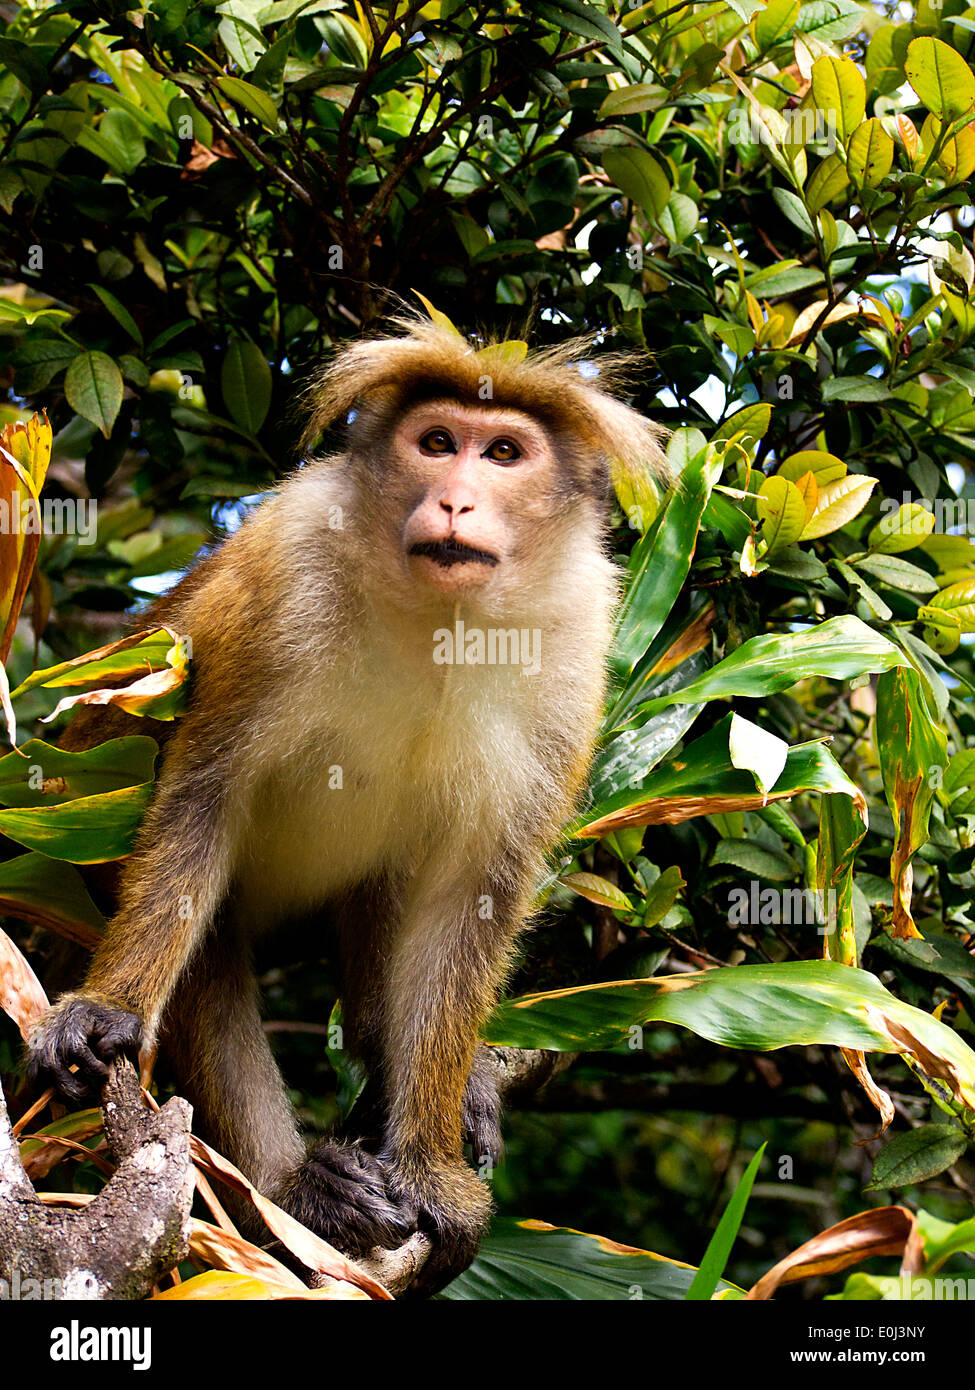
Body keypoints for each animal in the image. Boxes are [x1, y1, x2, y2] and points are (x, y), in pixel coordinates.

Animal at [27, 317, 670, 1295]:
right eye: (436, 443)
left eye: (504, 452)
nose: (454, 501)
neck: (436, 623)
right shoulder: (283, 576)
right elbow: (201, 803)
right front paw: (107, 1012)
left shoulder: (573, 647)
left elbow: (471, 895)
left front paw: (431, 1165)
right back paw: (298, 1193)